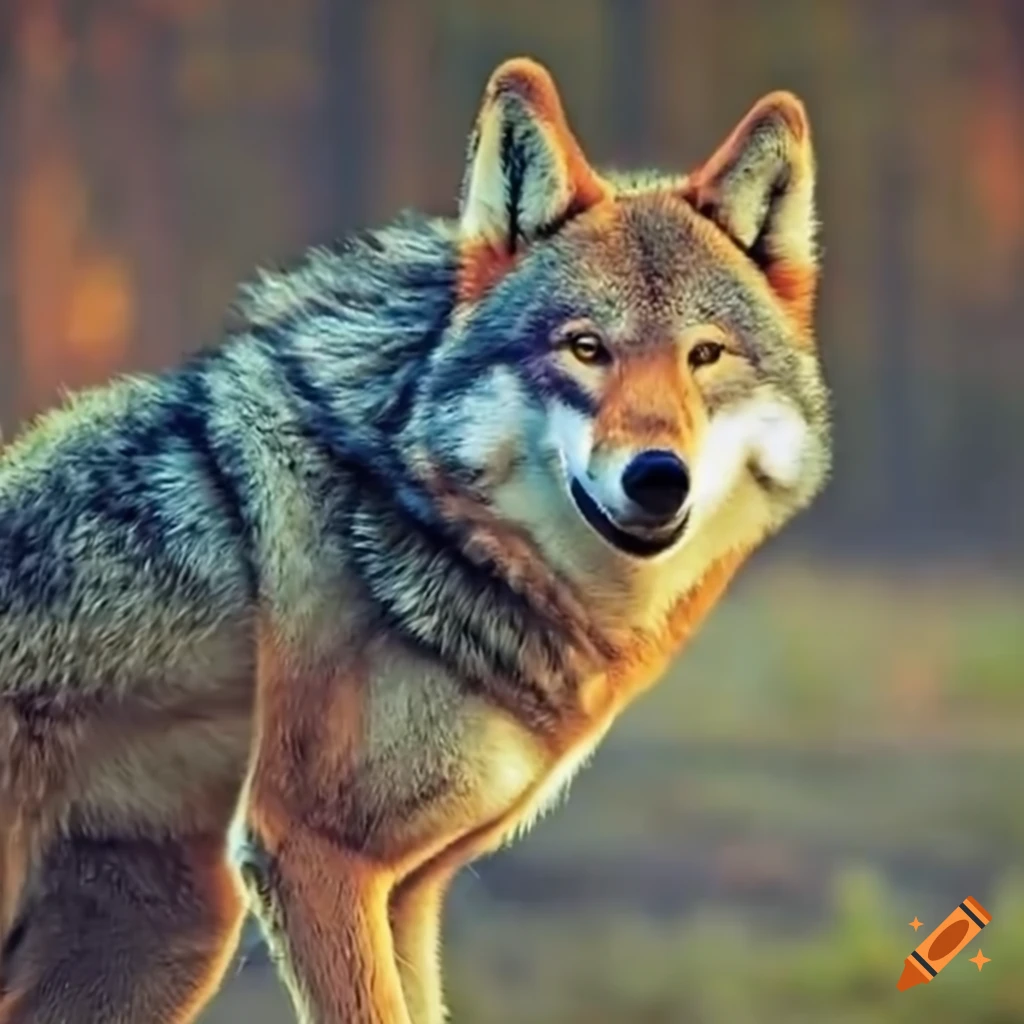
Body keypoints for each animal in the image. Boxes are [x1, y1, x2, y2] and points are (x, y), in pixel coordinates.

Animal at [0, 57, 831, 1023]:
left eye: (706, 356)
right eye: (586, 348)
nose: (659, 476)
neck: (415, 502)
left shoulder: (407, 890)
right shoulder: (310, 849)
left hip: (168, 941)